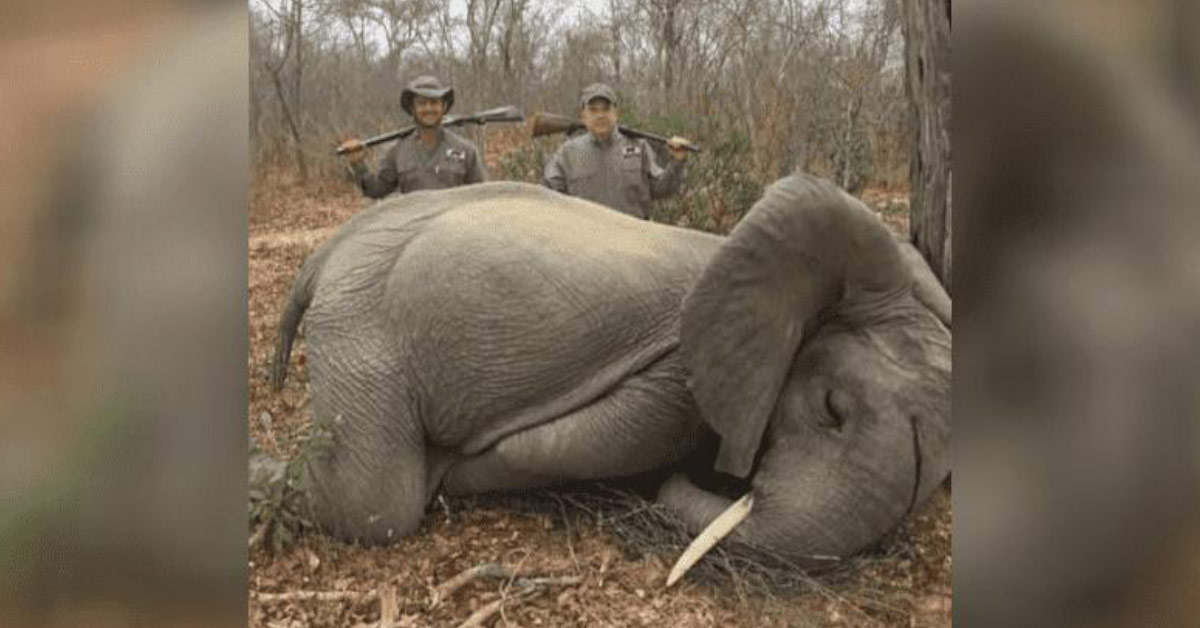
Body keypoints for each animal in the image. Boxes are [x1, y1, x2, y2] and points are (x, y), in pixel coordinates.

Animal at [267, 173, 951, 568]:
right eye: (832, 408)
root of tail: (326, 254)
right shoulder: (679, 373)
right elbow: (615, 436)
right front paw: (458, 468)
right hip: (360, 327)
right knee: (373, 504)